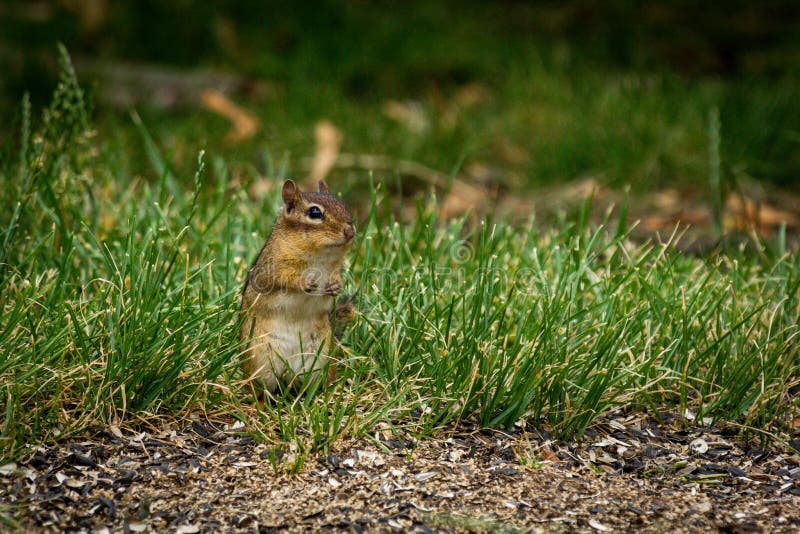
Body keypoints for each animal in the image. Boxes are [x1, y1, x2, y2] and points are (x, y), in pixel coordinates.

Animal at [240, 179, 356, 397]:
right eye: (314, 212)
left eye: (344, 205)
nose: (351, 231)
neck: (319, 257)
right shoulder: (269, 270)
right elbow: (280, 280)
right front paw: (304, 282)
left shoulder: (334, 269)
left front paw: (336, 286)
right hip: (260, 360)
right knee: (261, 389)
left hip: (321, 358)